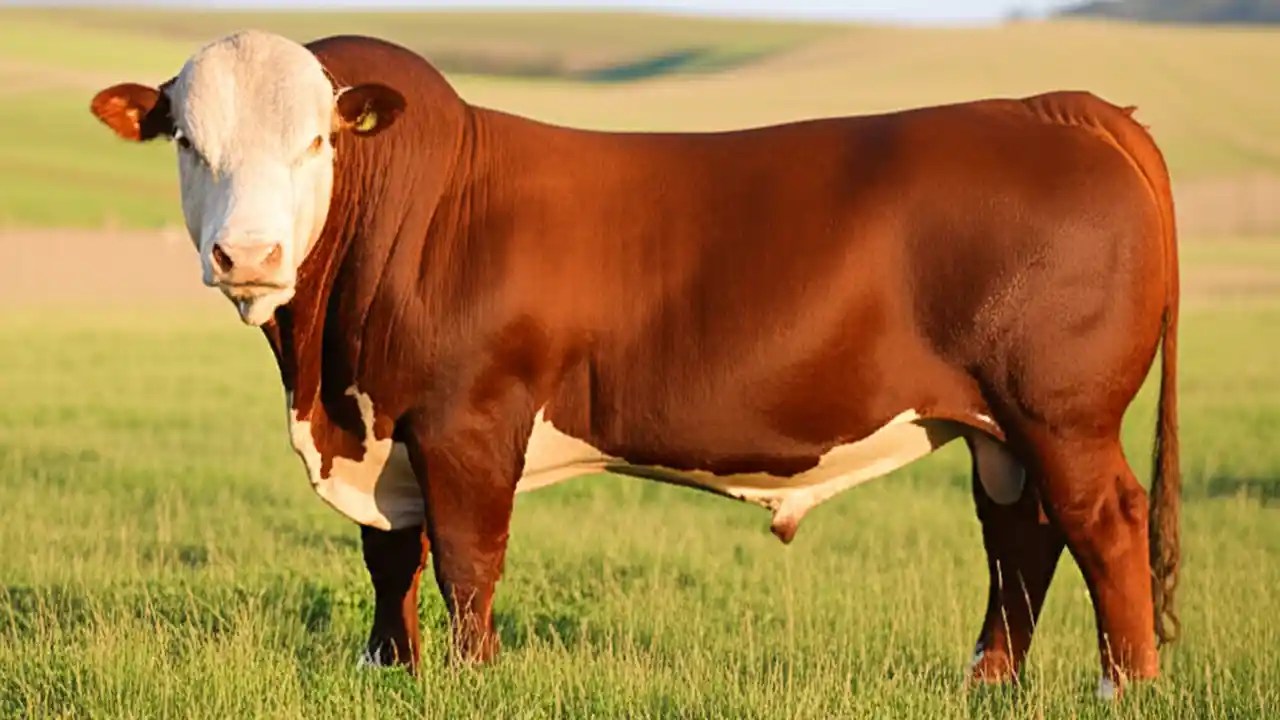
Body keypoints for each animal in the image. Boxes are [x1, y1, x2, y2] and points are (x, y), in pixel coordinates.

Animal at [89, 30, 1180, 698]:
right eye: (187, 142)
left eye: (316, 141)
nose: (248, 257)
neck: (323, 375)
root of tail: (1054, 106)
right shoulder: (382, 424)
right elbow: (390, 556)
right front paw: (386, 670)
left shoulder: (467, 421)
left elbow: (467, 560)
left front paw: (472, 678)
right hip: (1001, 428)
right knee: (1019, 538)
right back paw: (986, 683)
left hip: (1062, 414)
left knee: (1101, 523)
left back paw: (1122, 685)